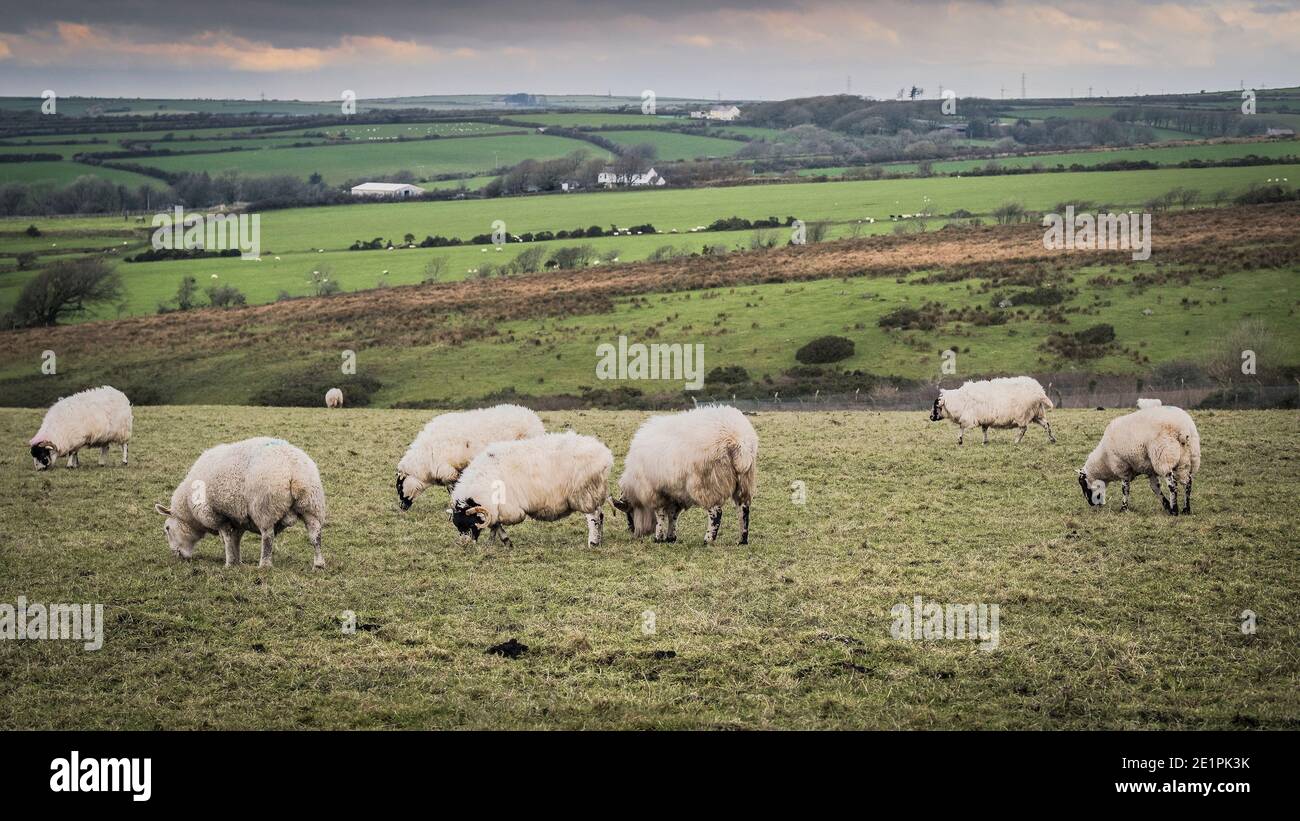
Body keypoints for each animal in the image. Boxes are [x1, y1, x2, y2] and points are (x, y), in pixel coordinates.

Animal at [153, 437, 327, 569]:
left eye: (167, 528)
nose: (176, 555)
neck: (189, 510)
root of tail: (293, 468)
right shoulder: (238, 516)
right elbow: (236, 539)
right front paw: (238, 561)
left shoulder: (217, 515)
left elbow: (227, 539)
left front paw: (229, 563)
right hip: (311, 504)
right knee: (315, 534)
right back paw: (318, 564)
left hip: (264, 506)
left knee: (268, 536)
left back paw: (264, 565)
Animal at [448, 431, 613, 548]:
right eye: (457, 525)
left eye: (470, 523)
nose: (464, 545)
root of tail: (605, 455)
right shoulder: (496, 508)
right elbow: (495, 525)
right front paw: (498, 543)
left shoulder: (504, 507)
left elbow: (495, 524)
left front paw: (502, 542)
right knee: (601, 515)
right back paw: (600, 540)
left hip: (585, 493)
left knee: (594, 517)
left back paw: (593, 542)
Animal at [612, 405, 758, 545]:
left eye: (629, 512)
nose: (632, 530)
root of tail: (737, 440)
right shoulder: (674, 492)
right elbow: (673, 515)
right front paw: (670, 538)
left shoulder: (655, 491)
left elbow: (660, 515)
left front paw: (658, 538)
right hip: (745, 480)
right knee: (743, 509)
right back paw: (742, 540)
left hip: (708, 483)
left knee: (716, 512)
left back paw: (708, 540)